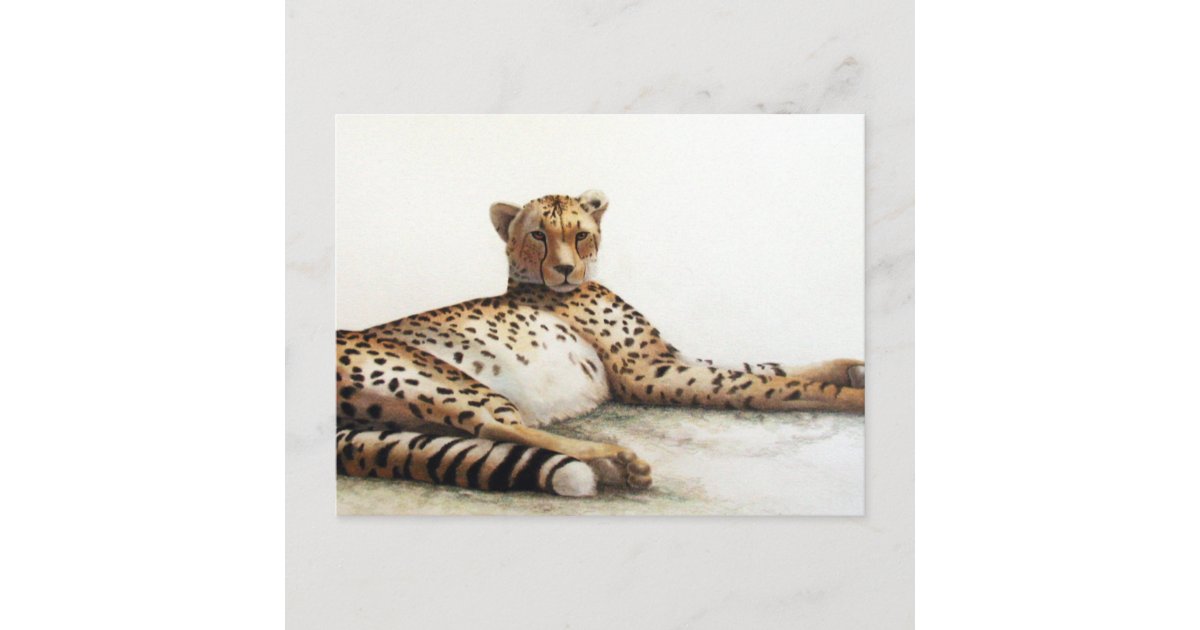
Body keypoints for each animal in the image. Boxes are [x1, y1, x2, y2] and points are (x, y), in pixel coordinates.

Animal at [336, 190, 865, 497]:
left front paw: (852, 367)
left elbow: (768, 367)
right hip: (434, 374)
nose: (566, 268)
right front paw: (851, 396)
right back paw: (615, 463)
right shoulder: (649, 373)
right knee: (496, 425)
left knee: (485, 432)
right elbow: (771, 386)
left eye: (580, 234)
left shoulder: (669, 358)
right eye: (538, 235)